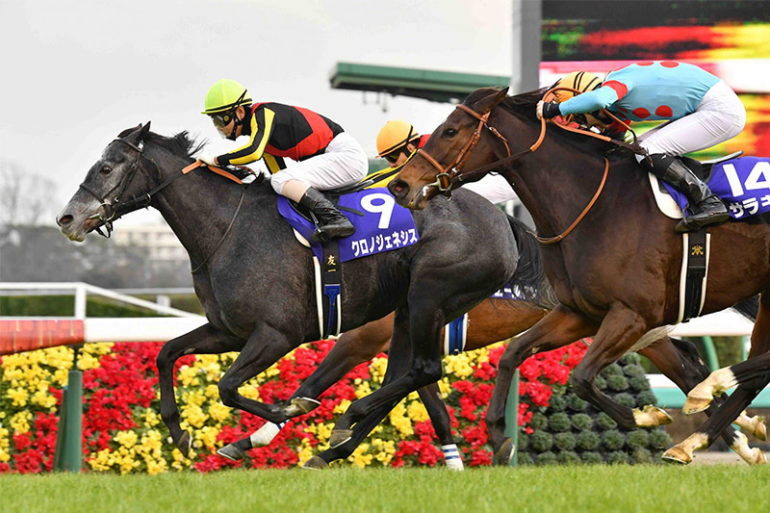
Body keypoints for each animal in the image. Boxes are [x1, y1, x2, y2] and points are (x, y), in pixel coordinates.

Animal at [56, 122, 533, 466]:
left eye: (107, 167)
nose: (67, 219)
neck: (228, 228)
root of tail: (500, 218)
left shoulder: (277, 334)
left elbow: (228, 387)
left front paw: (283, 414)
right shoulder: (228, 331)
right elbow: (166, 353)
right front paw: (180, 433)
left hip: (430, 298)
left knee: (425, 369)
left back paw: (343, 422)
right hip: (406, 311)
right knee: (408, 374)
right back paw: (333, 446)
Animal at [387, 86, 770, 465]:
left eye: (451, 131)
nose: (401, 185)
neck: (596, 205)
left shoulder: (633, 314)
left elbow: (581, 377)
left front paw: (646, 416)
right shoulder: (583, 312)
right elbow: (513, 354)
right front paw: (498, 435)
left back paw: (710, 396)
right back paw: (698, 437)